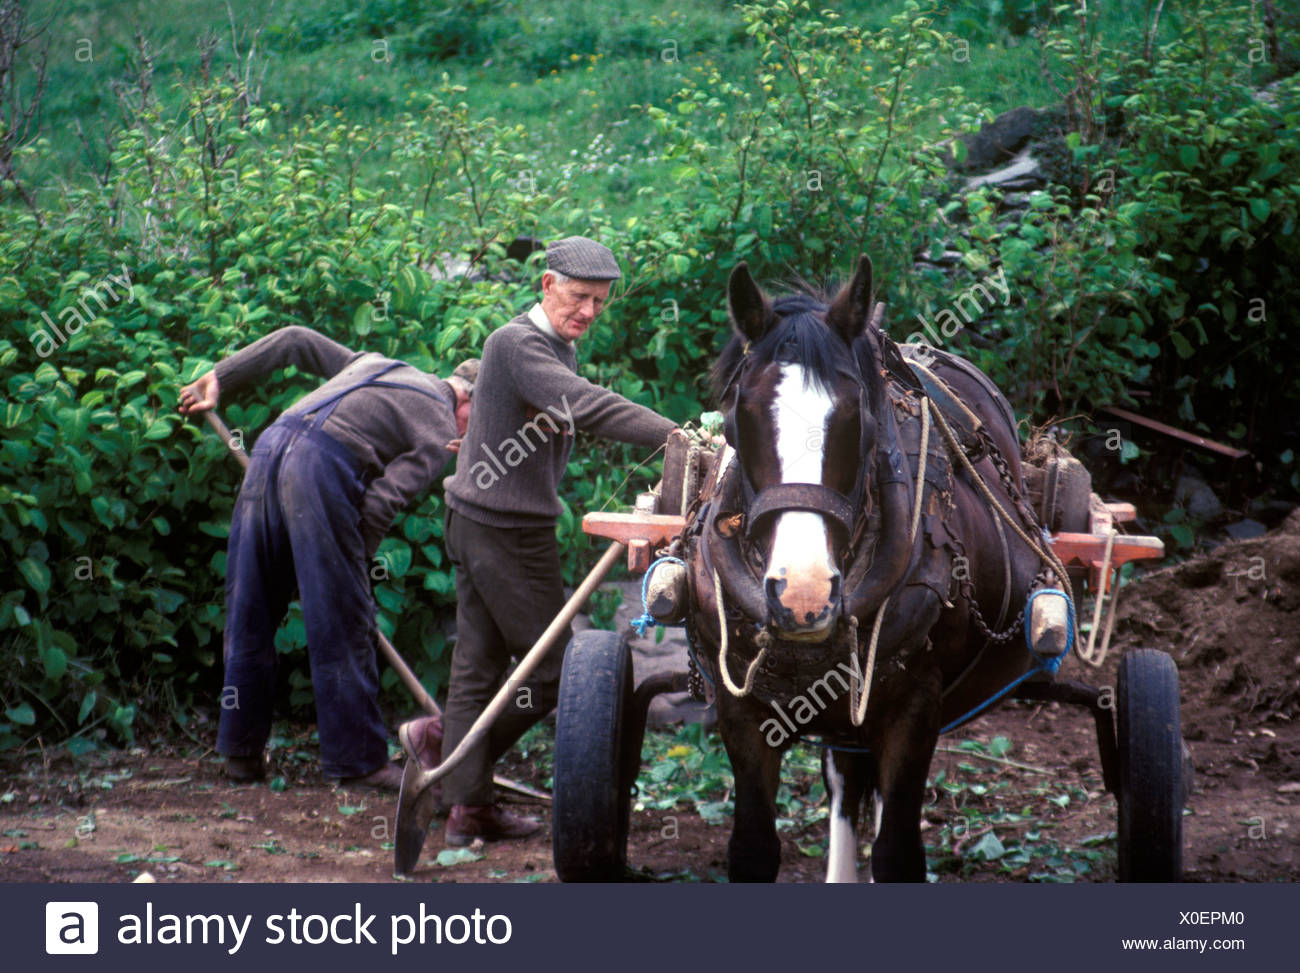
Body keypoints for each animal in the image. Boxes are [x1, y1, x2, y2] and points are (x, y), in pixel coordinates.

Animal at [680, 256, 1063, 882]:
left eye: (857, 420)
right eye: (739, 418)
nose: (803, 595)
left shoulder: (914, 708)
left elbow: (897, 851)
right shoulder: (739, 705)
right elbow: (754, 848)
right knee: (844, 777)